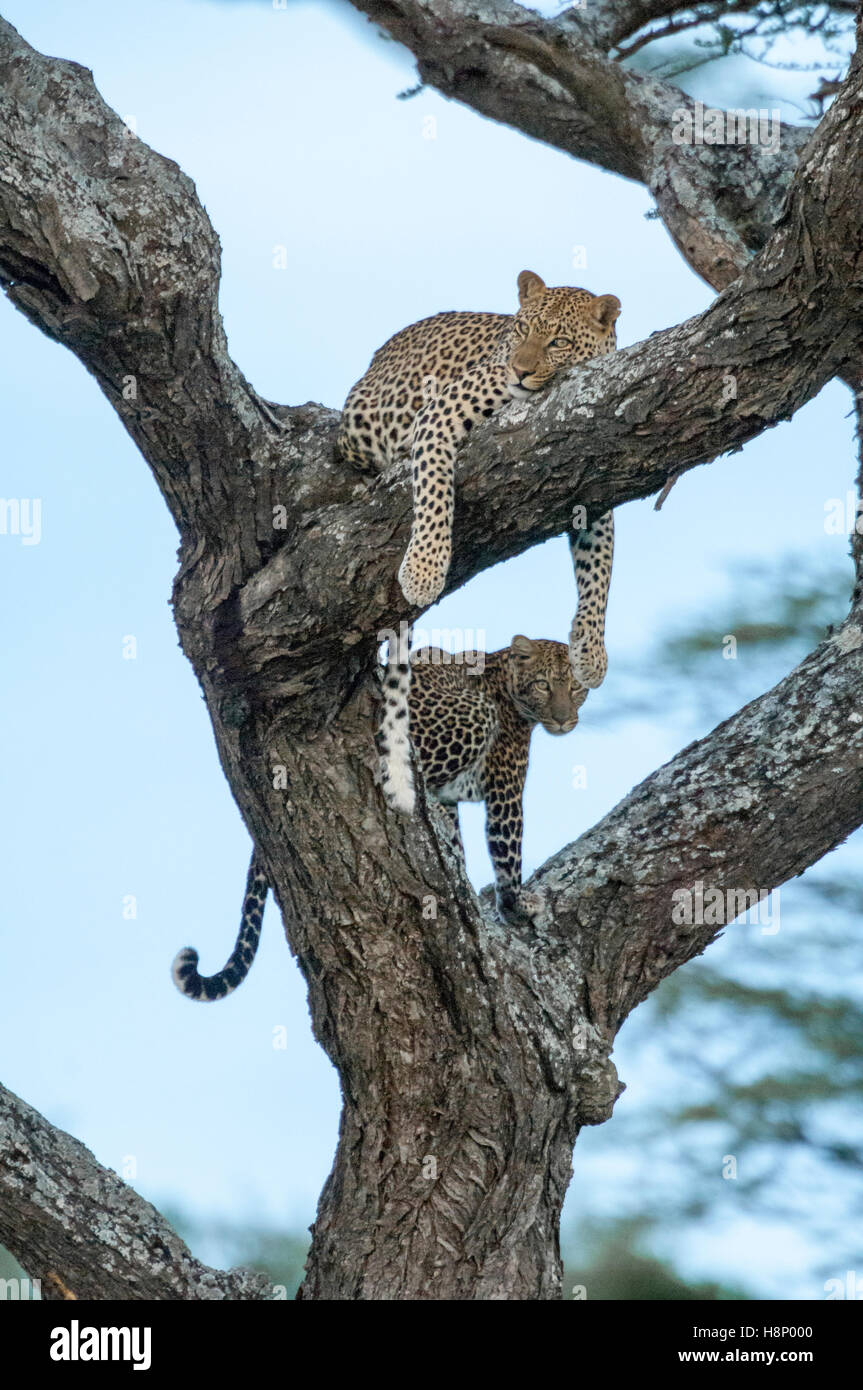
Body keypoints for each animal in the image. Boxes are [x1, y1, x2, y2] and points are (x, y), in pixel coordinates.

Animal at [171, 637, 587, 1001]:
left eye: (577, 688)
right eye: (544, 685)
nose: (565, 721)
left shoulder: (452, 799)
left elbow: (454, 837)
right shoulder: (506, 783)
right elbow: (508, 847)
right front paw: (517, 904)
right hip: (471, 715)